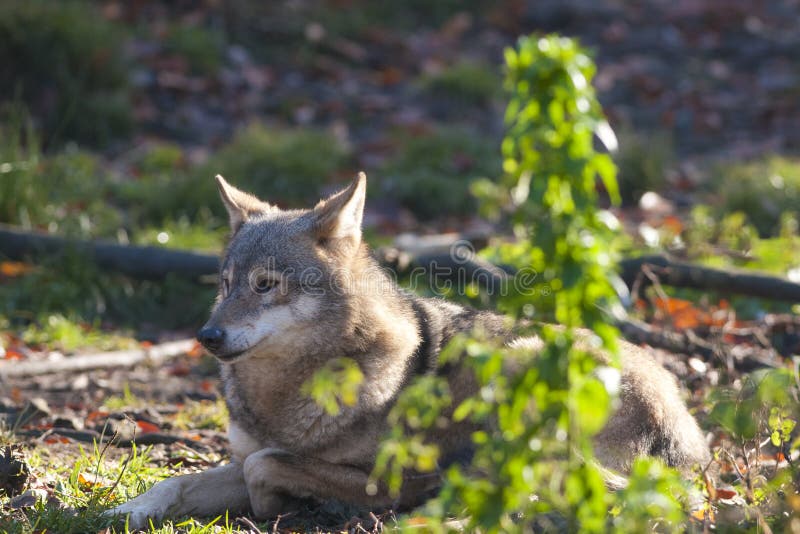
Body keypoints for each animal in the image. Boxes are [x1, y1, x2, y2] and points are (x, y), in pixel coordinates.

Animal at [109, 174, 710, 528]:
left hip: (519, 362)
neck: (286, 395)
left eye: (265, 285)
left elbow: (265, 464)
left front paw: (278, 508)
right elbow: (180, 480)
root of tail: (690, 445)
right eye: (226, 283)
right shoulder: (237, 456)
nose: (207, 337)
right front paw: (128, 508)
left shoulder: (383, 476)